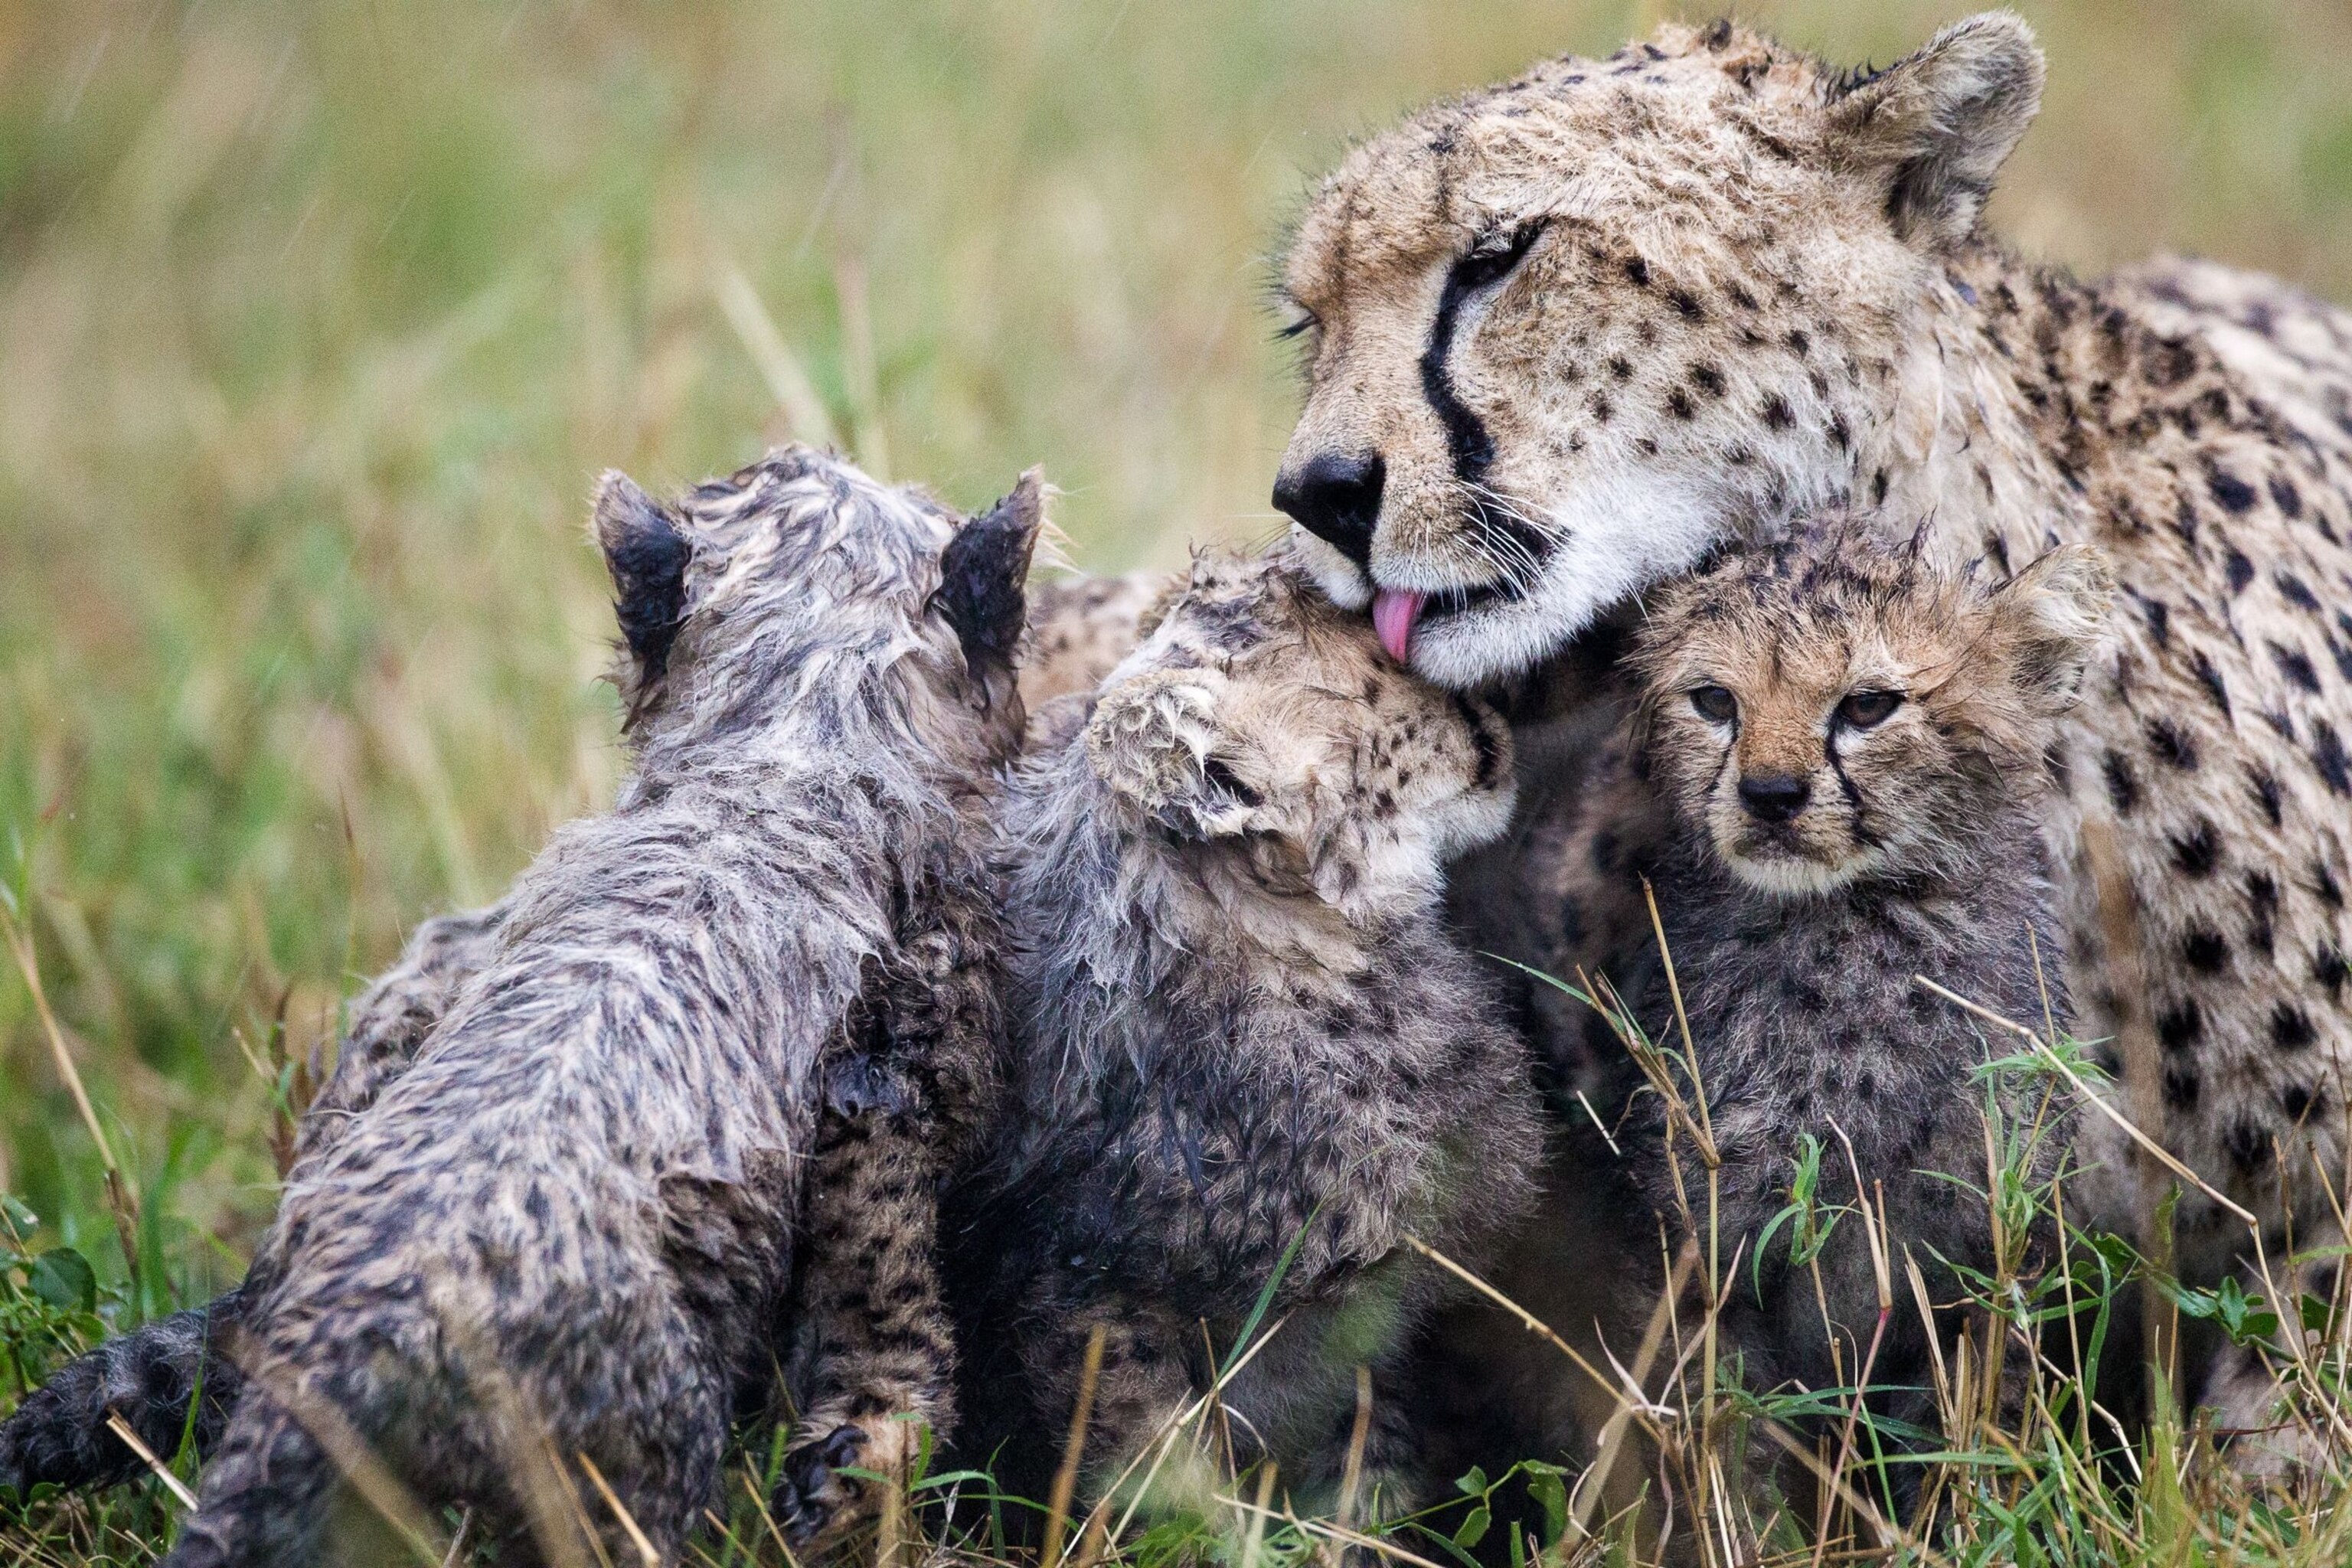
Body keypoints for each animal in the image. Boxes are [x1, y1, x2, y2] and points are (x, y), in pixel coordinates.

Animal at [95, 448, 1041, 1567]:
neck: (779, 768)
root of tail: (358, 1330)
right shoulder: (906, 1070)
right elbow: (887, 1341)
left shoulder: (443, 961)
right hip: (636, 1463)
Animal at [943, 548, 1543, 1526]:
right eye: (1369, 657)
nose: (1487, 707)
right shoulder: (1084, 1298)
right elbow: (1168, 1487)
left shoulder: (1359, 1328)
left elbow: (1365, 1468)